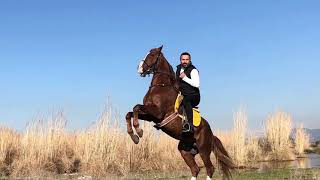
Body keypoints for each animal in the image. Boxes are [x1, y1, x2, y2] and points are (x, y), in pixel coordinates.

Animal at [125, 45, 235, 179]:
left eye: (152, 55)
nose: (139, 68)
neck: (161, 86)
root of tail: (211, 133)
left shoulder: (157, 113)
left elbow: (135, 107)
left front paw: (139, 132)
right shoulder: (151, 116)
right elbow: (129, 113)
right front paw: (134, 136)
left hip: (203, 149)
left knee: (210, 168)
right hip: (185, 150)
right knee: (195, 169)